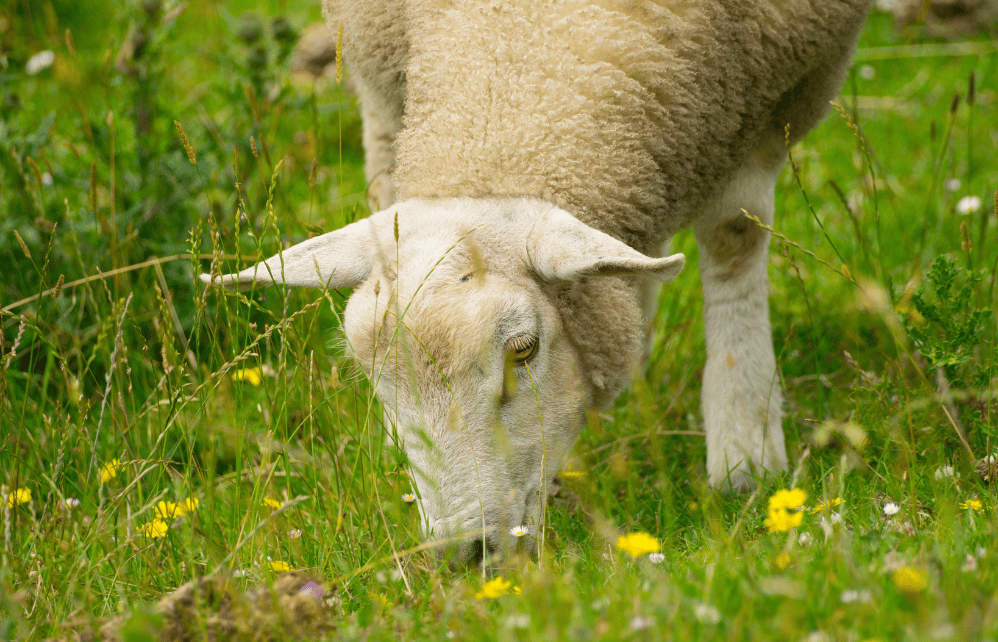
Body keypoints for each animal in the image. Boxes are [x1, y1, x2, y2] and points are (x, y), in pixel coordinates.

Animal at [201, 0, 873, 565]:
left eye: (523, 349)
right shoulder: (378, 82)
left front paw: (745, 450)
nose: (461, 554)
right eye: (374, 378)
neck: (529, 29)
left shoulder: (781, 87)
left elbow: (735, 236)